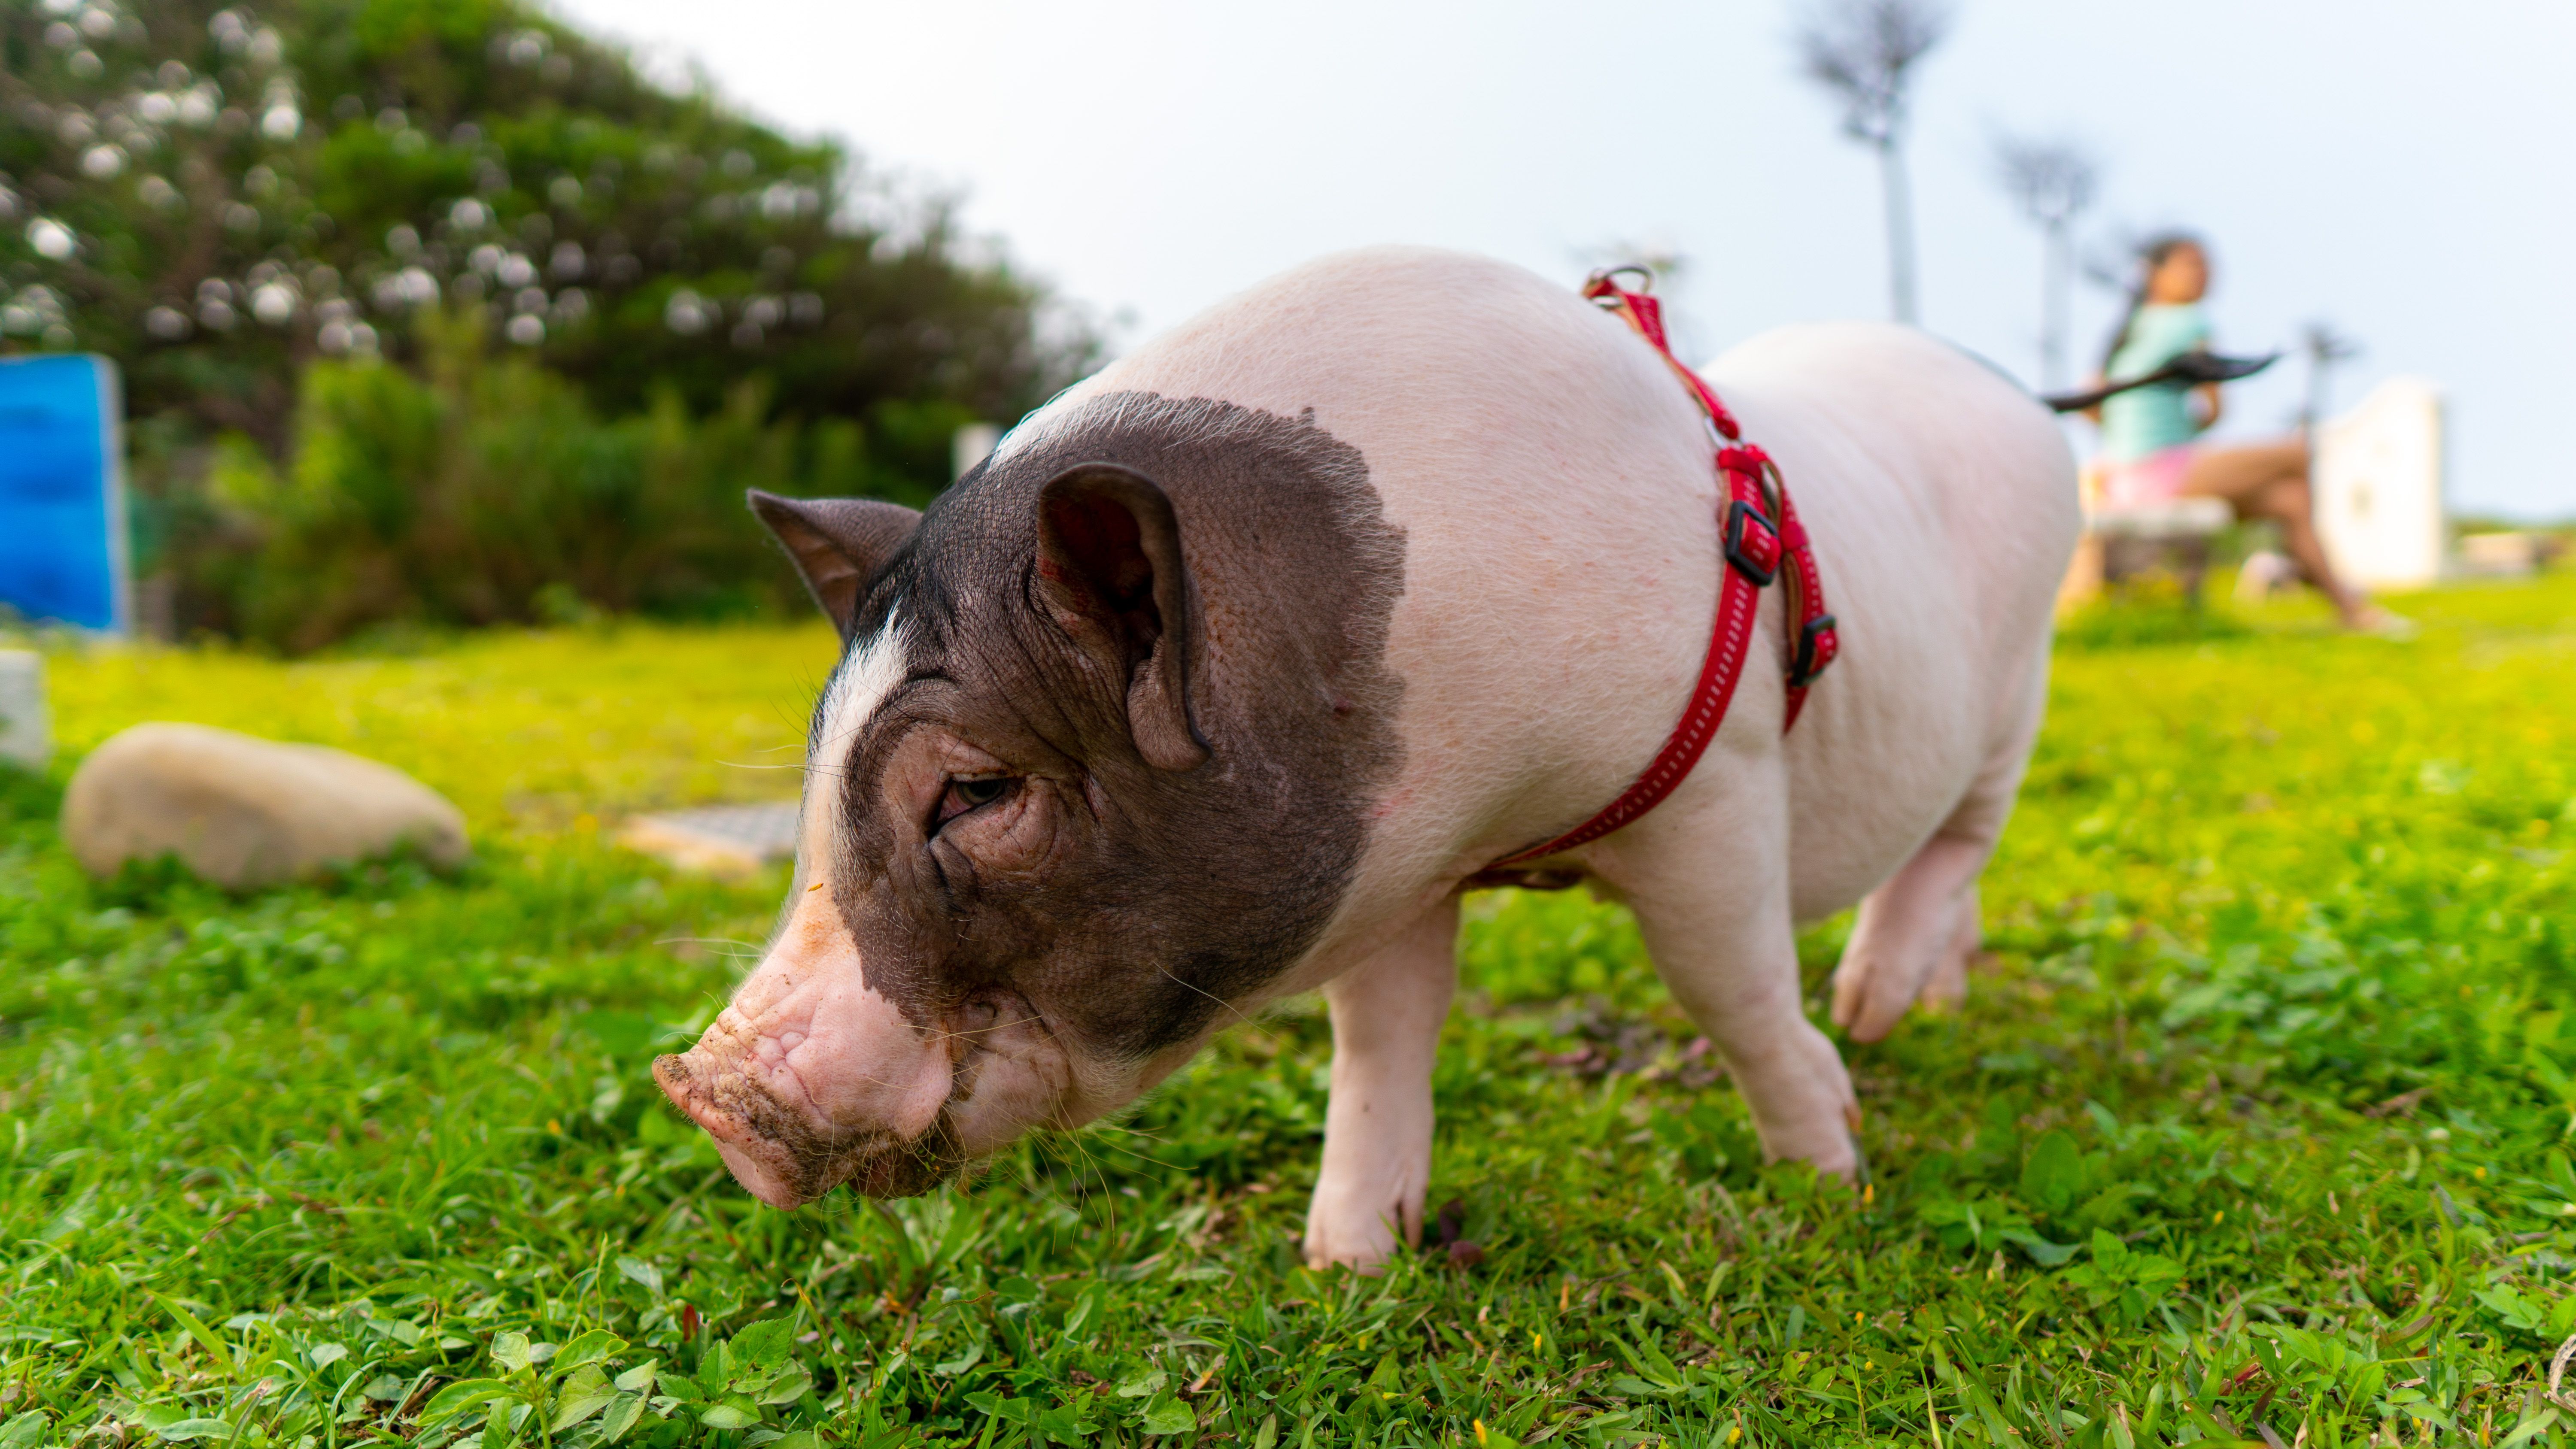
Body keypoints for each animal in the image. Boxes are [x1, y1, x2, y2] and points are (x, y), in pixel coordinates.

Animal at [654, 246, 2078, 1271]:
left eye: (975, 792)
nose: (702, 1091)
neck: (1497, 815)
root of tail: (2025, 400)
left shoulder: (1713, 786)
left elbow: (1727, 989)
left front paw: (1830, 1171)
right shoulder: (1394, 853)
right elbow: (1382, 1037)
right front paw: (1347, 1263)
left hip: (2021, 682)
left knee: (1963, 836)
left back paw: (1872, 1009)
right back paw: (1923, 1009)